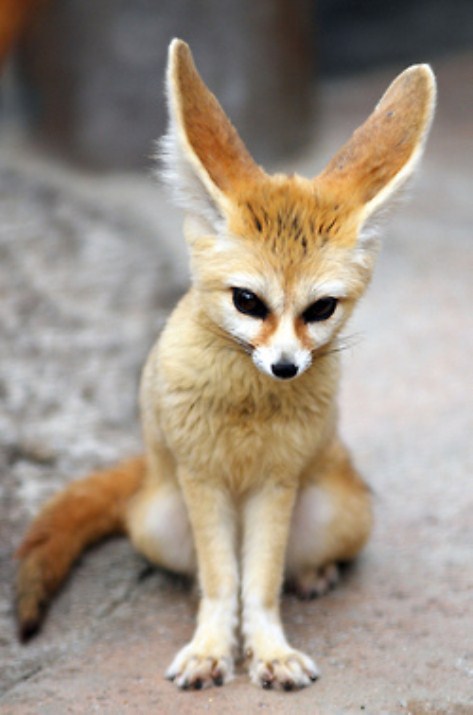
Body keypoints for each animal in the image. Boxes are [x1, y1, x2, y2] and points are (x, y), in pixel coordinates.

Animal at [15, 39, 436, 691]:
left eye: (321, 309)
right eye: (247, 301)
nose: (286, 366)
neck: (246, 409)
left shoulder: (276, 483)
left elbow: (259, 585)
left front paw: (269, 651)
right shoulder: (202, 478)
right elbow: (223, 581)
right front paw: (213, 646)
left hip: (337, 512)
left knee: (294, 562)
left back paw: (315, 574)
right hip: (160, 521)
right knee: (206, 569)